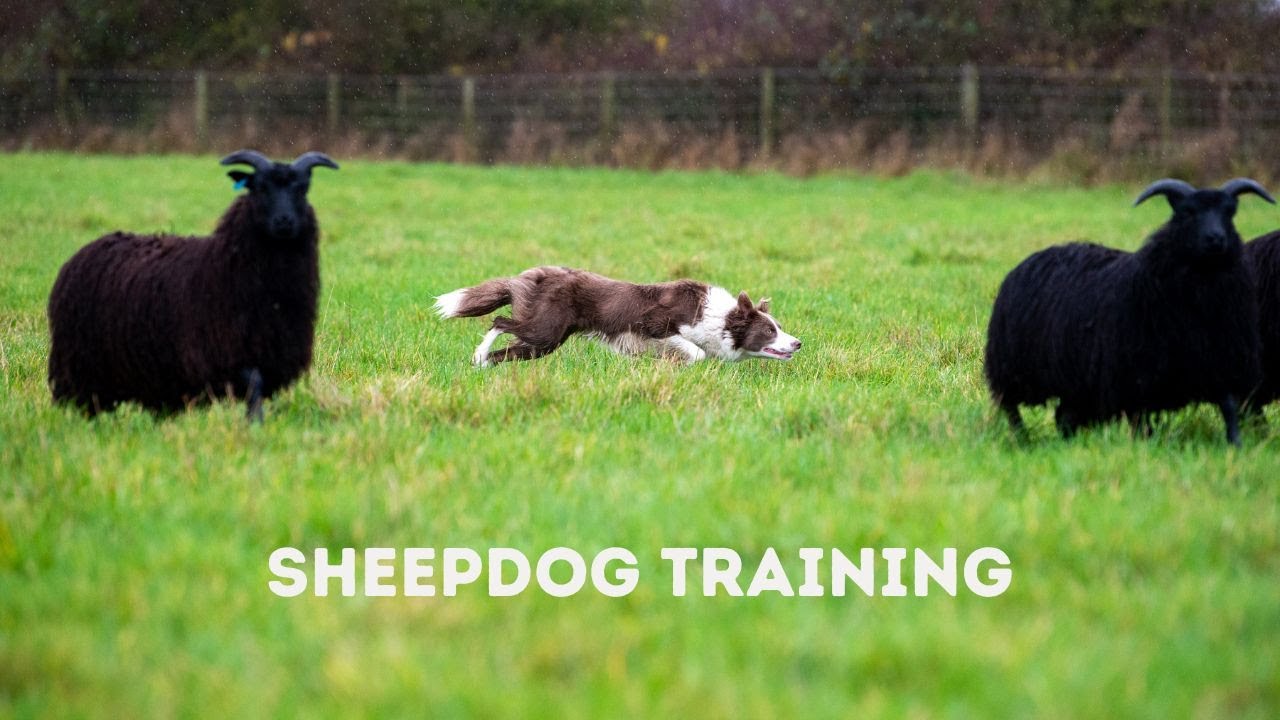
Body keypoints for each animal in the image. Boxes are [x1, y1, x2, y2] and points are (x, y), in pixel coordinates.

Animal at [47, 149, 339, 421]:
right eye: (259, 187)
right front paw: (255, 425)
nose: (284, 221)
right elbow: (253, 383)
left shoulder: (271, 351)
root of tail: (86, 249)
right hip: (81, 365)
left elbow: (257, 386)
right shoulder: (227, 350)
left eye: (302, 189)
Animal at [983, 178, 1274, 445]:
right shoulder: (1135, 377)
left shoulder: (1220, 361)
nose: (1216, 239)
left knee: (1063, 415)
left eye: (1230, 211)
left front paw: (1236, 446)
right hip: (1012, 367)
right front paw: (1145, 446)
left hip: (1075, 378)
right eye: (1187, 212)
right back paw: (1023, 439)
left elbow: (1229, 407)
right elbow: (1141, 421)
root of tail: (1030, 260)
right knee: (1011, 406)